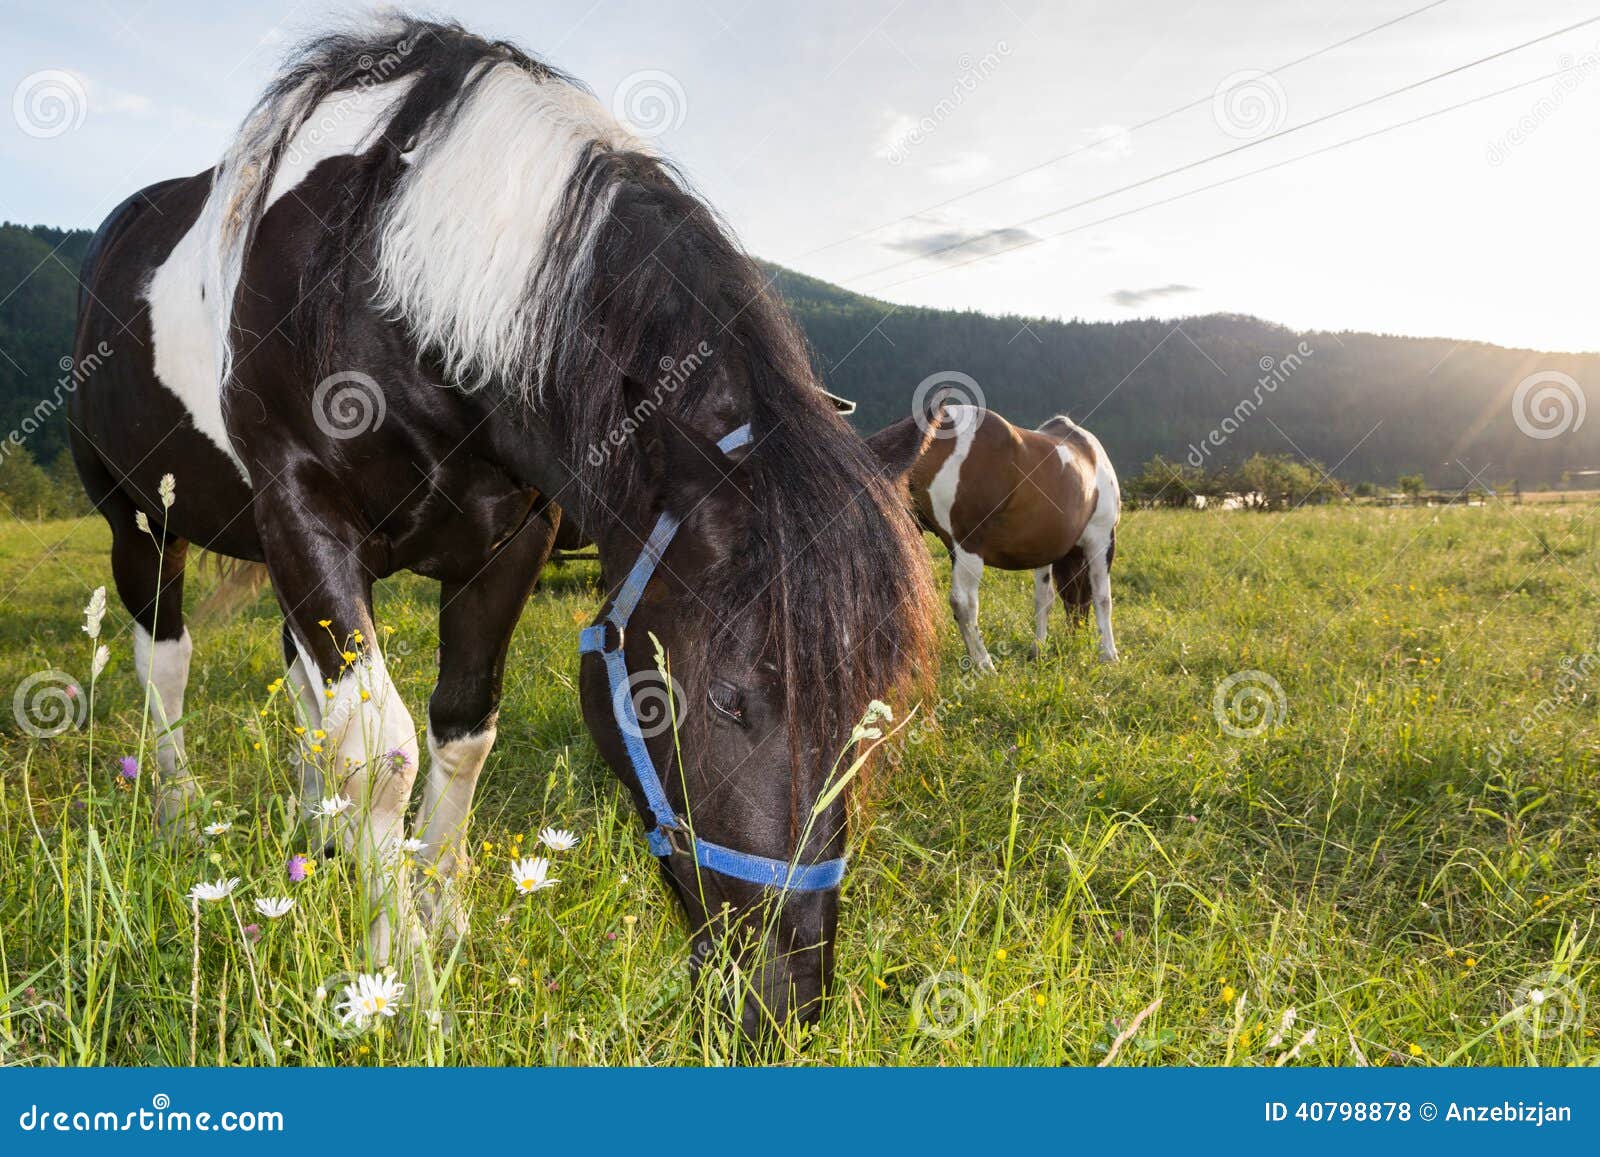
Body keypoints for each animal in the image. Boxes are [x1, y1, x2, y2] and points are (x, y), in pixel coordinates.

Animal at [69, 14, 937, 1036]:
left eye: (870, 712)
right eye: (727, 698)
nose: (785, 1002)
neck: (393, 279)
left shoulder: (509, 541)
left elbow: (460, 728)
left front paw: (435, 915)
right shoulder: (302, 509)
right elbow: (382, 753)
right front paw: (400, 981)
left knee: (306, 689)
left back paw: (318, 835)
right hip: (140, 524)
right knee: (164, 661)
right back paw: (175, 816)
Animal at [870, 405, 1120, 669]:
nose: (1076, 636)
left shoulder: (1044, 549)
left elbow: (1044, 599)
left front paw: (1038, 651)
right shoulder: (1102, 538)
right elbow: (1102, 597)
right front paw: (1108, 654)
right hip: (967, 546)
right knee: (964, 602)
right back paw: (984, 664)